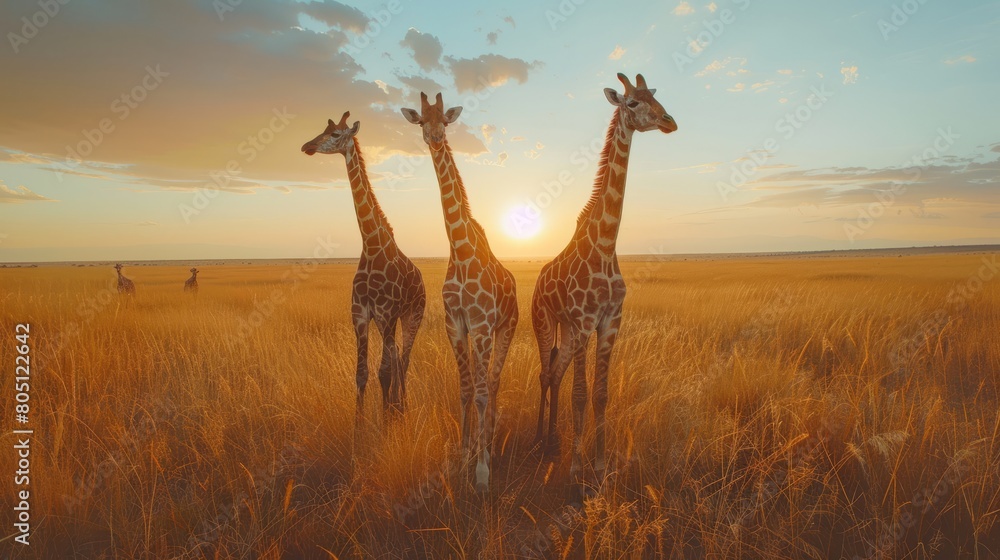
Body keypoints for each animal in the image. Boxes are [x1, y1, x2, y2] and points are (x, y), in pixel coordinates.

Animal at [301, 111, 426, 427]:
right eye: (322, 129)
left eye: (335, 134)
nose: (307, 146)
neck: (370, 245)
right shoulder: (360, 314)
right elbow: (362, 373)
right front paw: (360, 426)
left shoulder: (387, 312)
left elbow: (383, 372)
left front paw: (385, 424)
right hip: (388, 322)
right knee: (395, 356)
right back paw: (396, 407)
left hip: (412, 316)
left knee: (403, 359)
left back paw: (402, 408)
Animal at [401, 92, 519, 493]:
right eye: (422, 121)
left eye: (446, 121)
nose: (435, 137)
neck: (460, 249)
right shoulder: (456, 324)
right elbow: (466, 389)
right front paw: (464, 455)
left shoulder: (482, 326)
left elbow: (481, 392)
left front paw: (482, 472)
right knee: (485, 385)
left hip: (506, 328)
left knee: (494, 383)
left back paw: (493, 448)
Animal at [531, 73, 677, 495]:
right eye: (632, 103)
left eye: (654, 97)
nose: (669, 121)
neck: (607, 243)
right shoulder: (584, 322)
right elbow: (580, 395)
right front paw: (576, 472)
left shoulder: (610, 322)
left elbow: (600, 394)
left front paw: (598, 465)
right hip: (544, 321)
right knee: (545, 373)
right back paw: (540, 442)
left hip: (566, 330)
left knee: (555, 372)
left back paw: (553, 442)